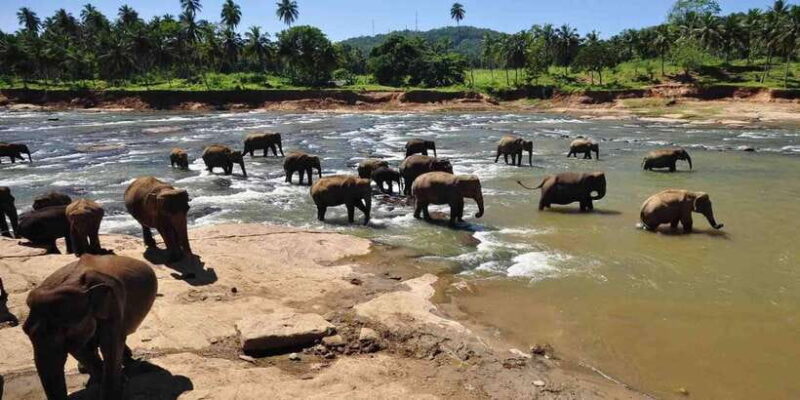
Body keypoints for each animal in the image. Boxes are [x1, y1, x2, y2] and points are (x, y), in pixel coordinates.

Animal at [23, 255, 157, 400]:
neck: (76, 284)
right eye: (25, 330)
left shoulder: (113, 305)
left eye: (65, 330)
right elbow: (80, 349)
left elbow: (111, 346)